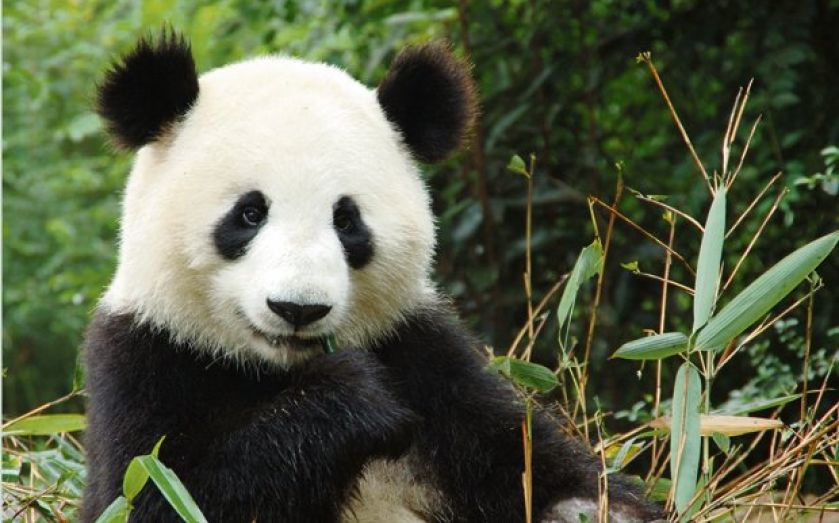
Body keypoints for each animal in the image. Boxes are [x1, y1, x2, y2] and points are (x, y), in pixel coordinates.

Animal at [82, 30, 662, 523]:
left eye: (346, 220)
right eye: (249, 213)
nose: (298, 309)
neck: (278, 372)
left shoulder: (428, 359)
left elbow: (532, 462)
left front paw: (593, 508)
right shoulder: (146, 359)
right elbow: (161, 493)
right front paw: (355, 400)